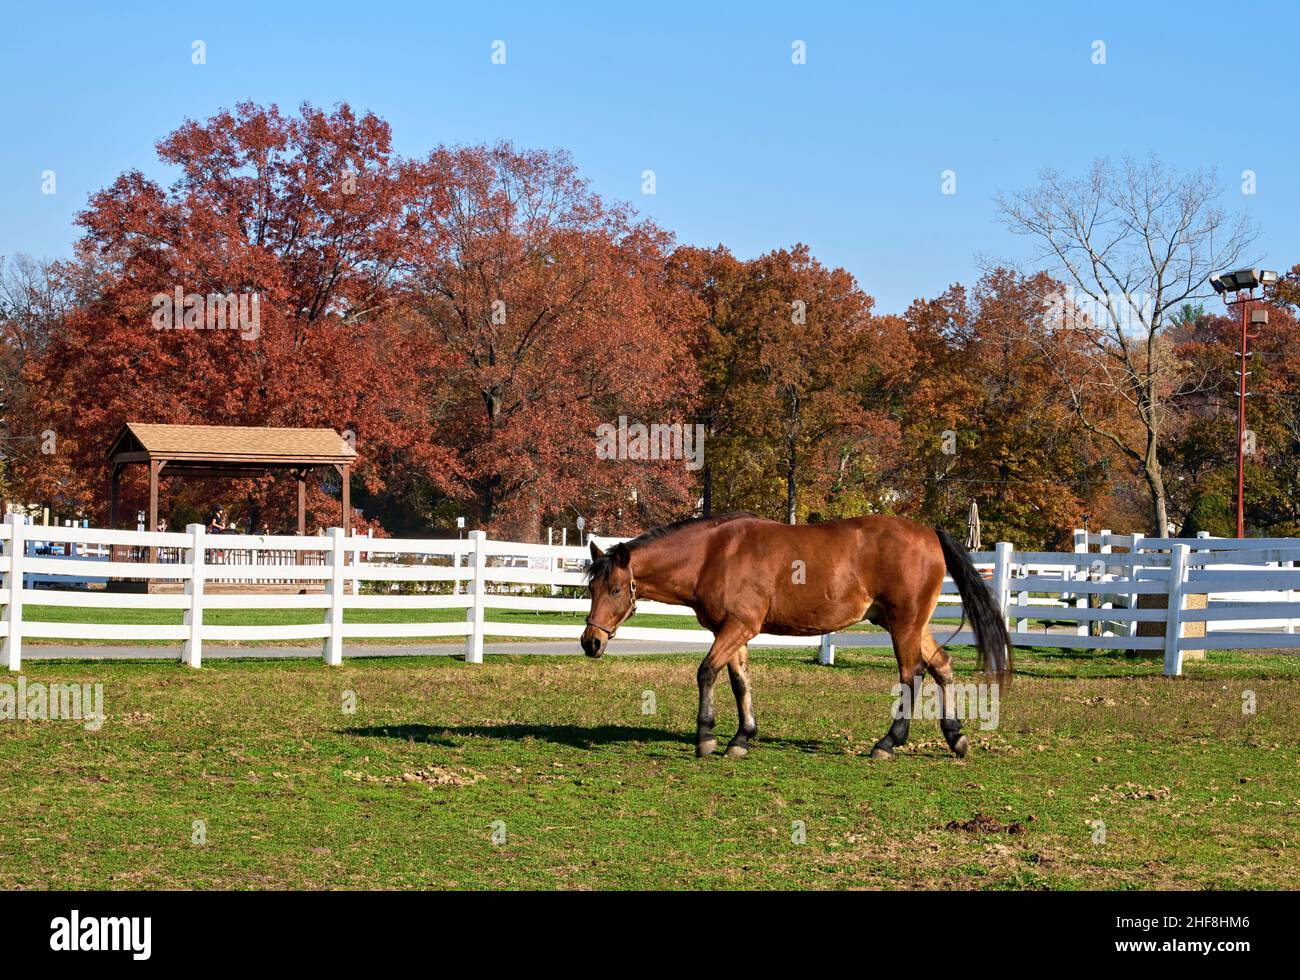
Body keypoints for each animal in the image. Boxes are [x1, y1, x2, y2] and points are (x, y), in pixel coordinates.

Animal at [581, 512, 1011, 760]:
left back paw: (888, 743)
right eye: (591, 588)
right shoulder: (732, 631)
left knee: (911, 674)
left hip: (904, 624)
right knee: (942, 667)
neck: (713, 555)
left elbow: (706, 673)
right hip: (907, 625)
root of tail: (929, 534)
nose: (590, 642)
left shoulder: (738, 627)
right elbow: (740, 682)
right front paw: (742, 737)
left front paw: (706, 737)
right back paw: (955, 737)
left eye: (615, 590)